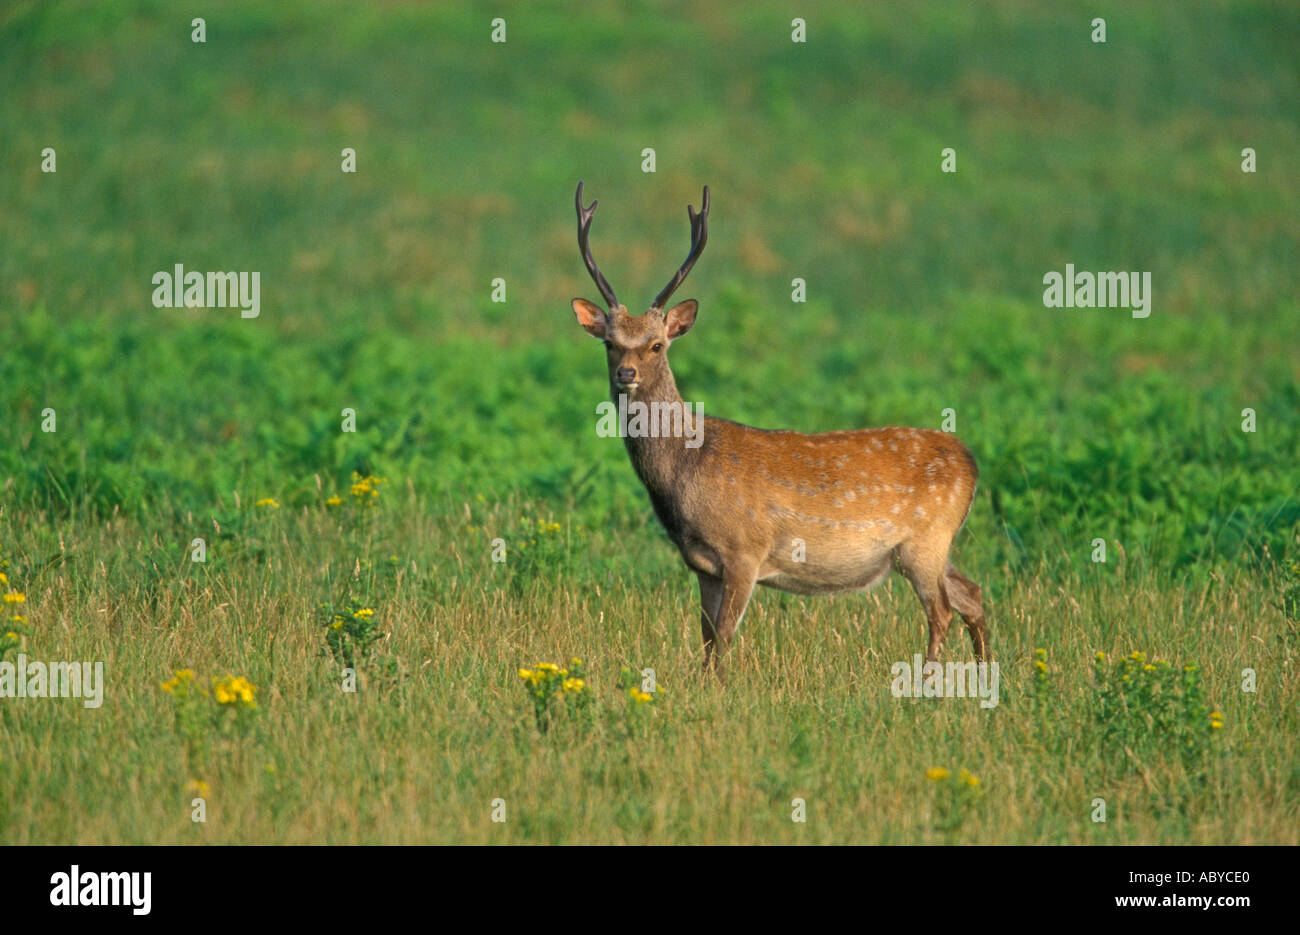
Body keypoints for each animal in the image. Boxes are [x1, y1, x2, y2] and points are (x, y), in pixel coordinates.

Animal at [570, 181, 988, 676]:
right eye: (609, 343)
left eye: (657, 344)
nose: (626, 374)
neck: (685, 470)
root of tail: (972, 464)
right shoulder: (702, 564)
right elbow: (706, 638)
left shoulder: (744, 550)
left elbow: (724, 636)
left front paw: (720, 687)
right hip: (935, 546)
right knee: (973, 596)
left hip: (925, 540)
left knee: (942, 610)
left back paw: (927, 680)